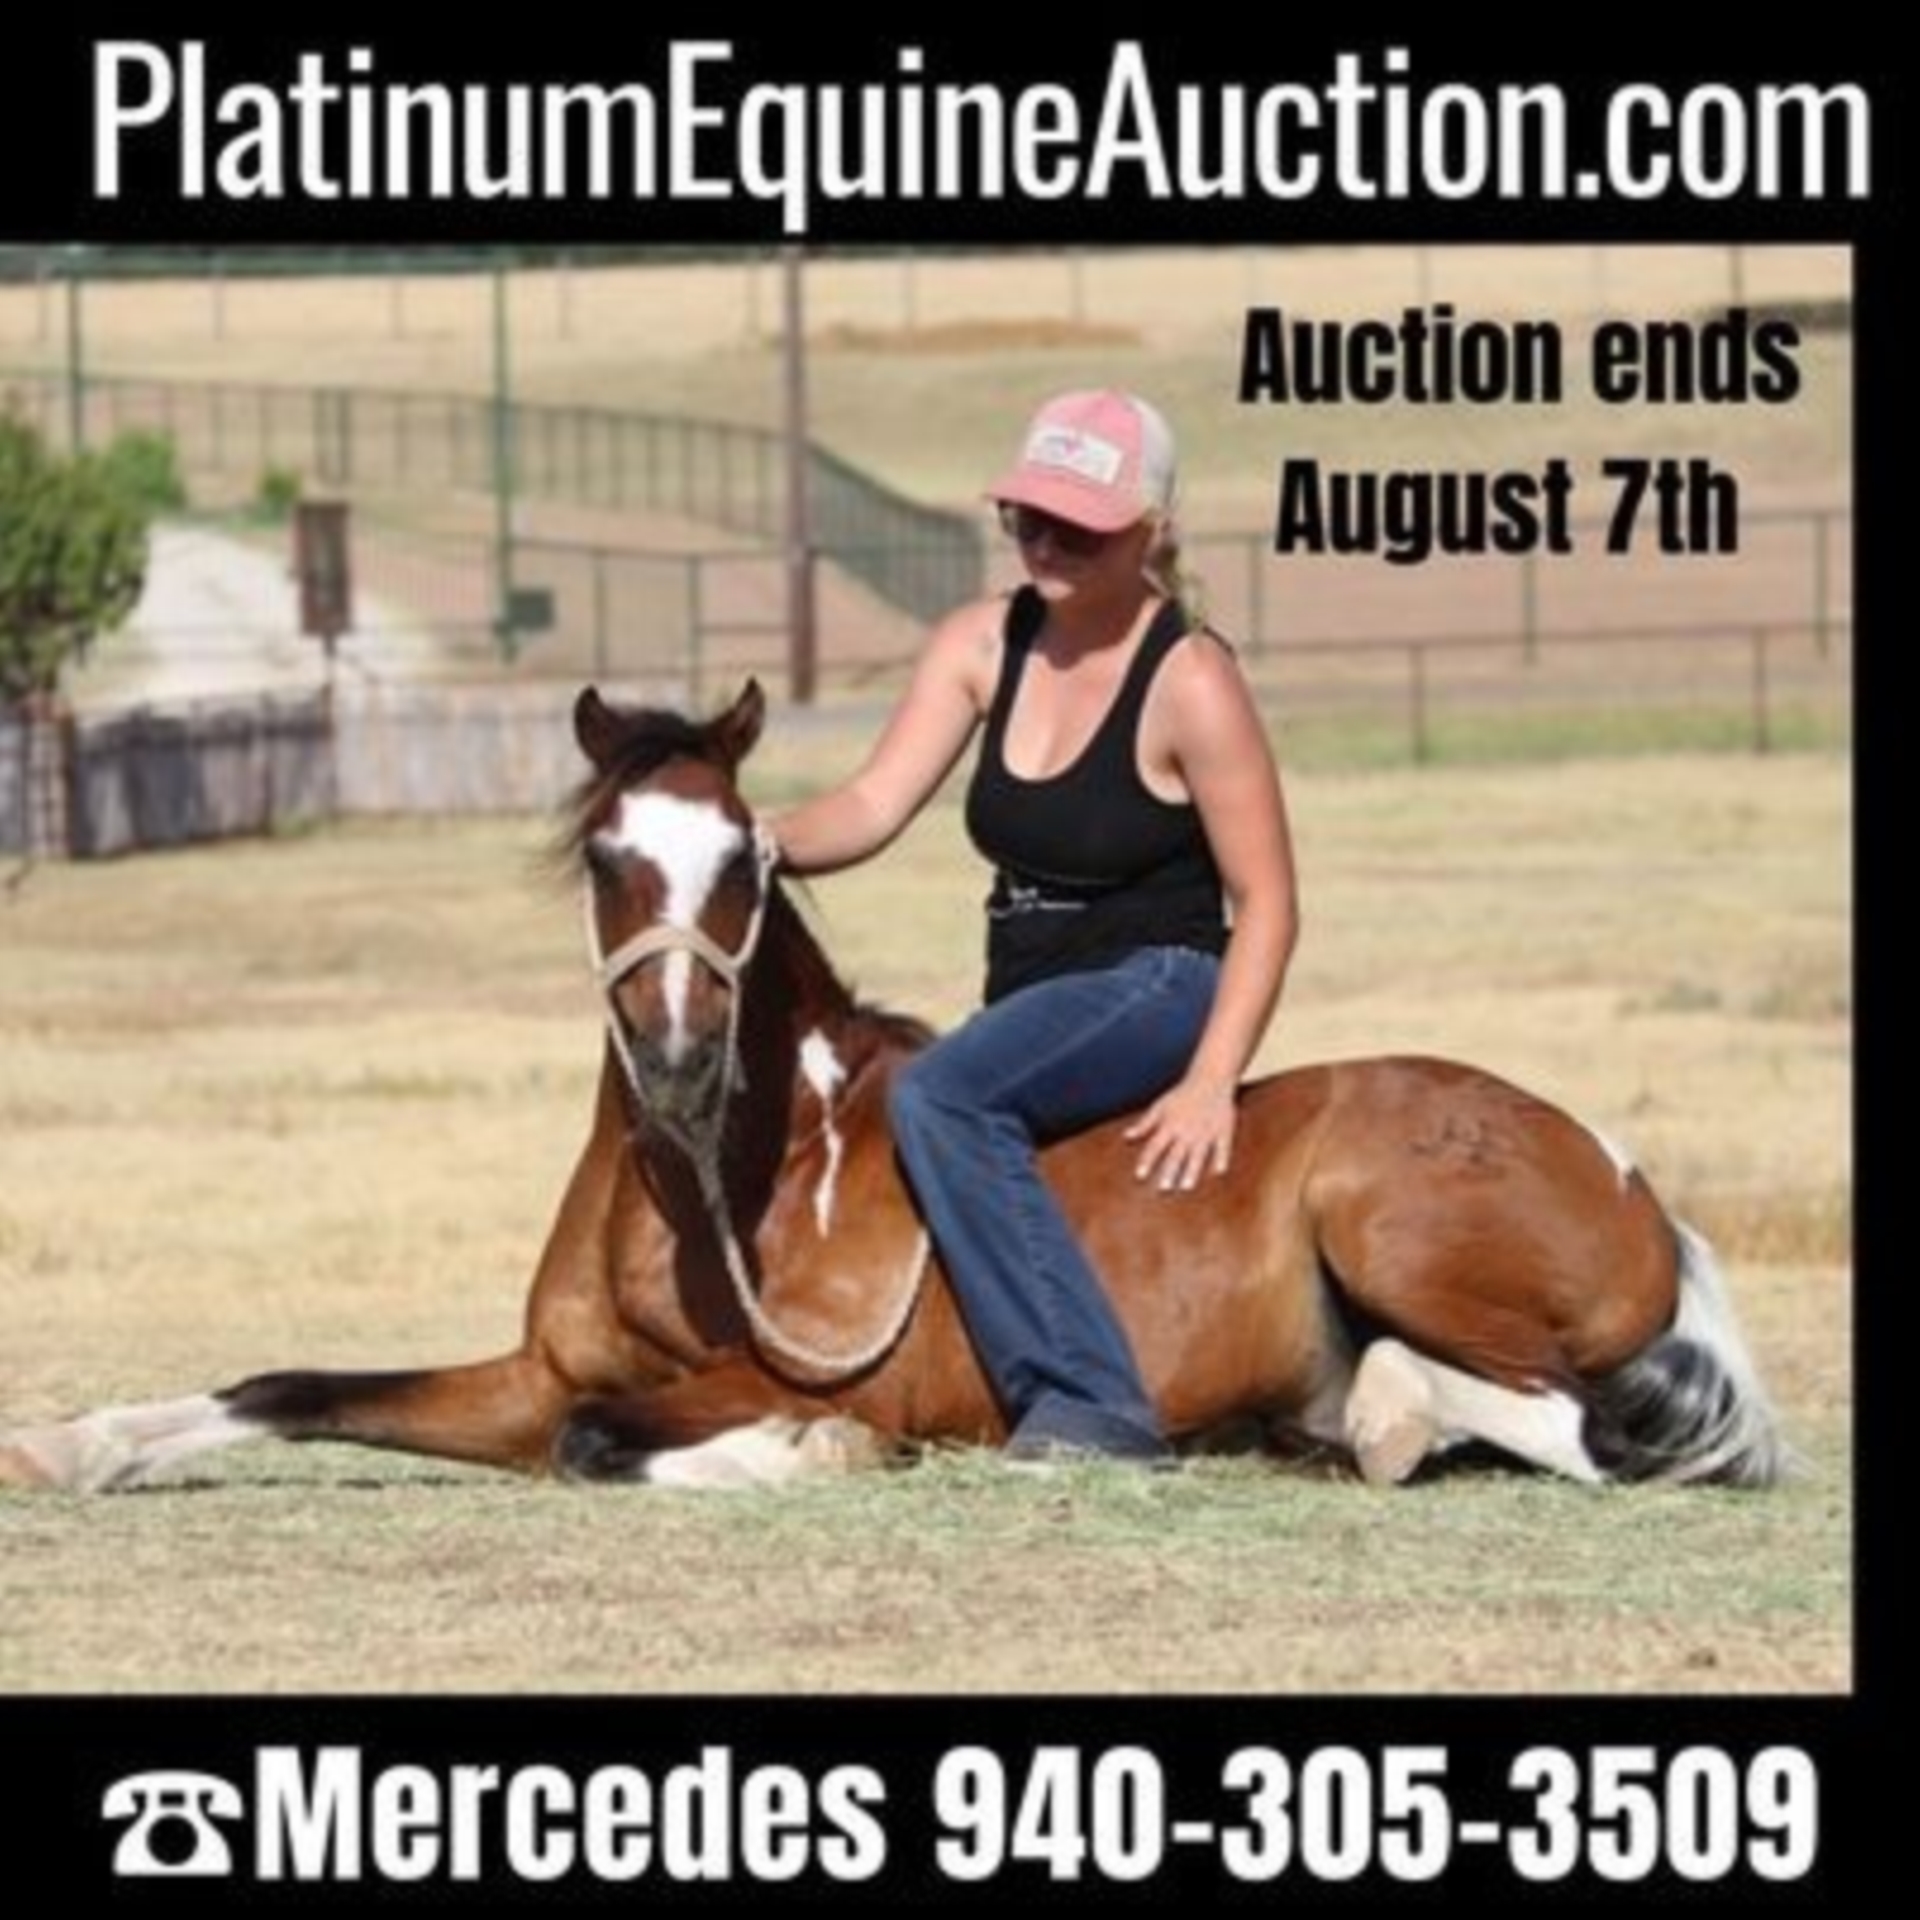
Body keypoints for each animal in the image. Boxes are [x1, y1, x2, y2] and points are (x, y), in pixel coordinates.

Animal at [0, 681, 1787, 1496]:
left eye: (742, 863)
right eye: (608, 856)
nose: (676, 1053)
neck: (717, 1198)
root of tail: (1628, 1176)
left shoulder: (716, 1390)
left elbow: (603, 1439)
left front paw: (809, 1459)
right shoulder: (520, 1374)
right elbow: (291, 1383)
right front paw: (76, 1445)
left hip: (1391, 1223)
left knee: (1561, 1423)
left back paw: (1394, 1420)